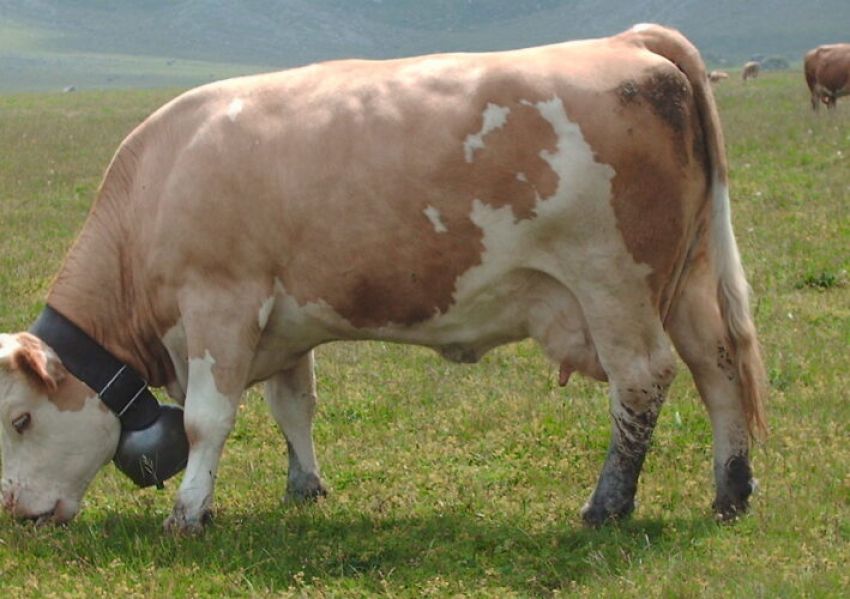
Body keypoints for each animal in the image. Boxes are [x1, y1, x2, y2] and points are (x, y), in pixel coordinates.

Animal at [0, 24, 766, 534]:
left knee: (643, 379)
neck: (159, 180)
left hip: (614, 282)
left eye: (20, 418)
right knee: (718, 366)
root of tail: (630, 39)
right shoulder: (284, 316)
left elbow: (206, 421)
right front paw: (304, 486)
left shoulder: (221, 299)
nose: (16, 510)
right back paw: (729, 491)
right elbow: (293, 405)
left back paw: (608, 504)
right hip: (688, 279)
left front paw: (189, 512)